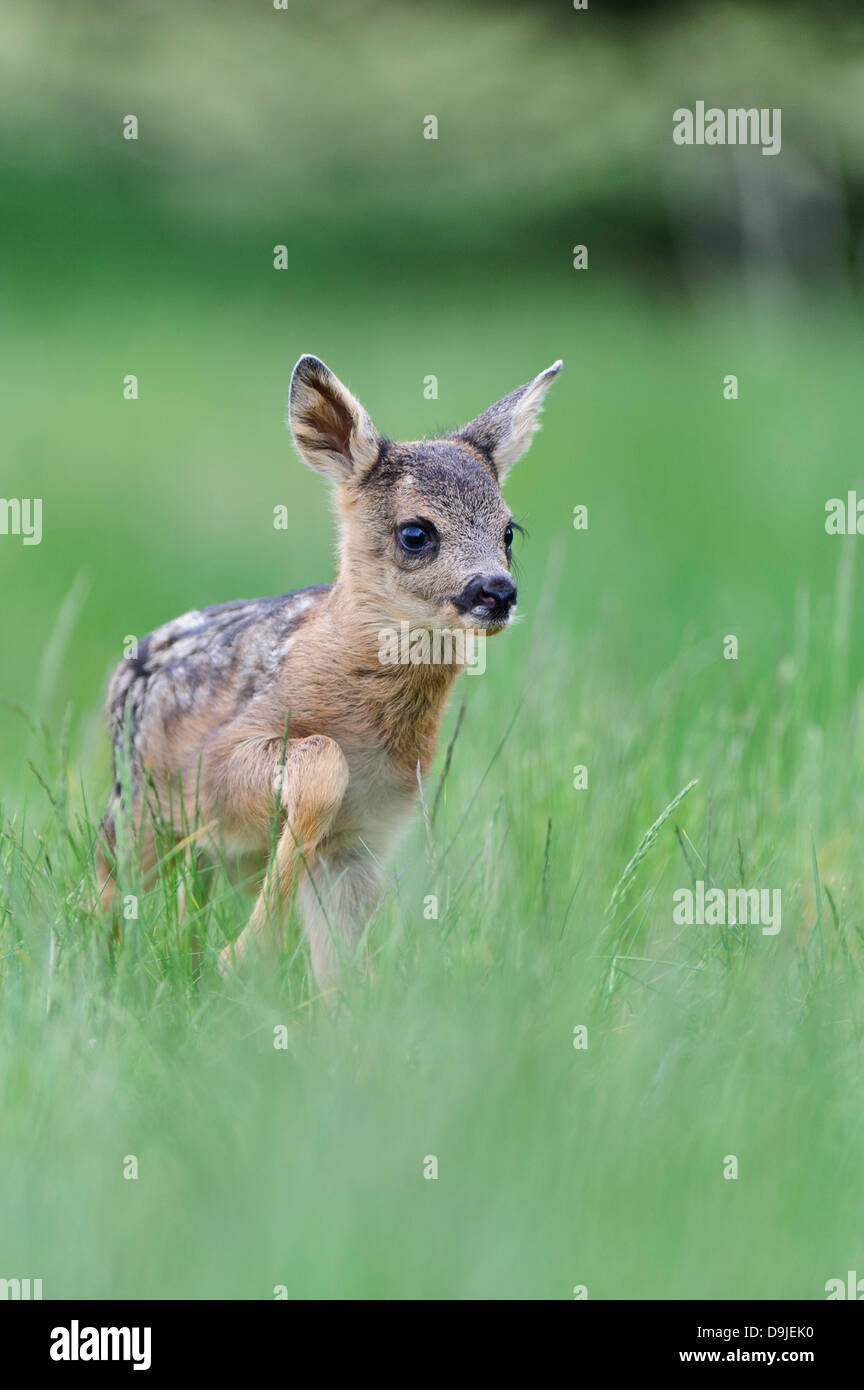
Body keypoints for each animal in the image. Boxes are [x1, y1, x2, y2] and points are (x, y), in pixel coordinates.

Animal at [97, 354, 562, 990]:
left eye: (509, 532)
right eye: (416, 532)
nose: (497, 592)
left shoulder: (359, 840)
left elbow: (342, 964)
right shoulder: (215, 770)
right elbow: (322, 762)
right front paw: (245, 956)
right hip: (141, 816)